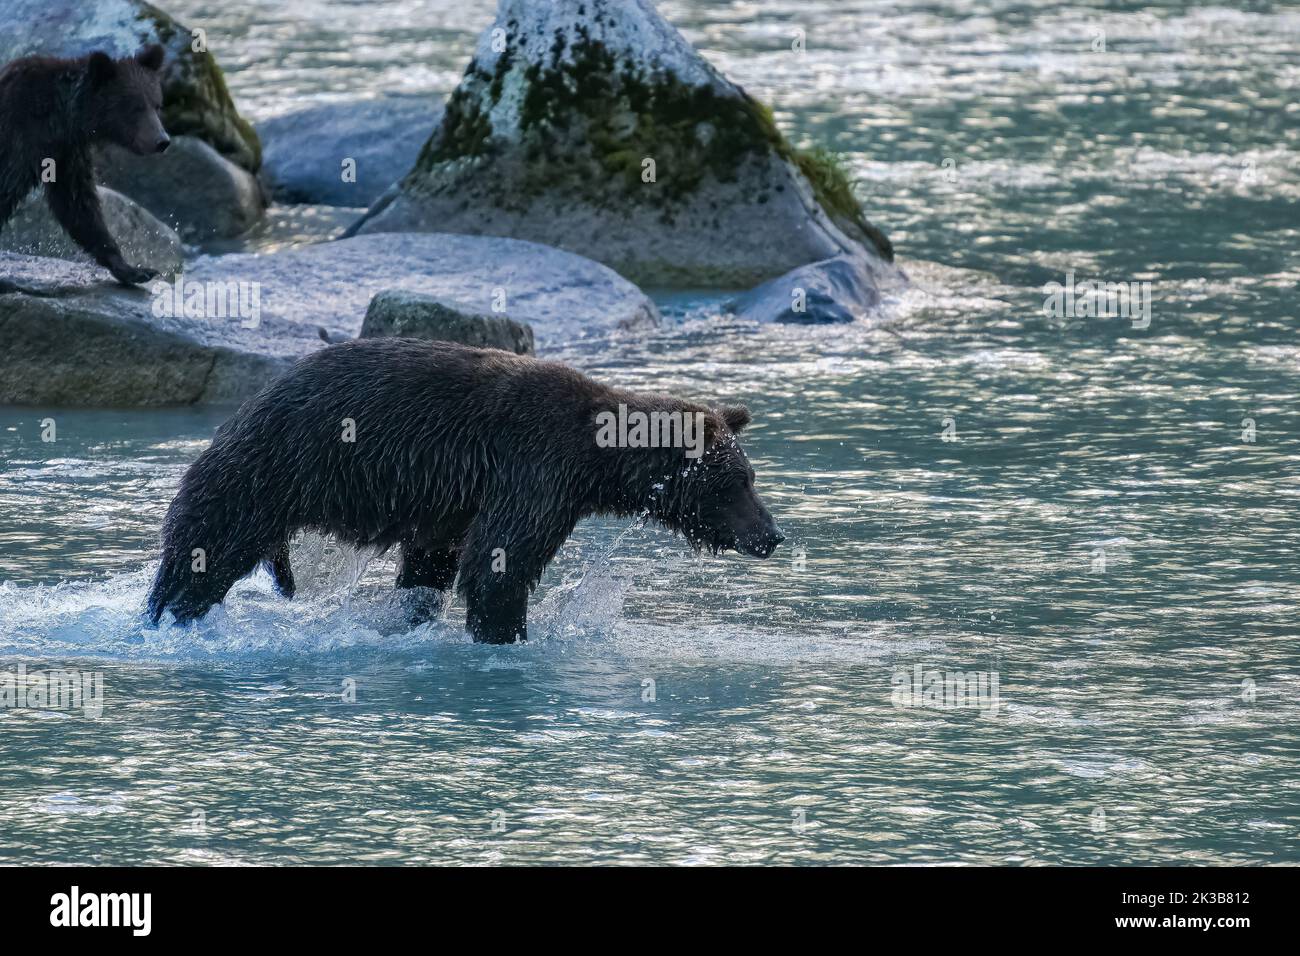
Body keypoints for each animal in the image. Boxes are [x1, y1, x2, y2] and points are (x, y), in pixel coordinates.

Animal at [0, 45, 170, 285]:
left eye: (157, 104)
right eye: (135, 107)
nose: (162, 141)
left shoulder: (66, 153)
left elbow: (78, 203)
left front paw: (134, 269)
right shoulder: (20, 135)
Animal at [146, 338, 785, 643]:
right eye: (739, 483)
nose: (773, 534)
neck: (596, 462)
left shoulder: (452, 501)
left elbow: (434, 562)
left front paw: (407, 616)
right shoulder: (533, 468)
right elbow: (500, 562)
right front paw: (507, 634)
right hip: (271, 467)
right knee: (206, 547)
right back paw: (169, 614)